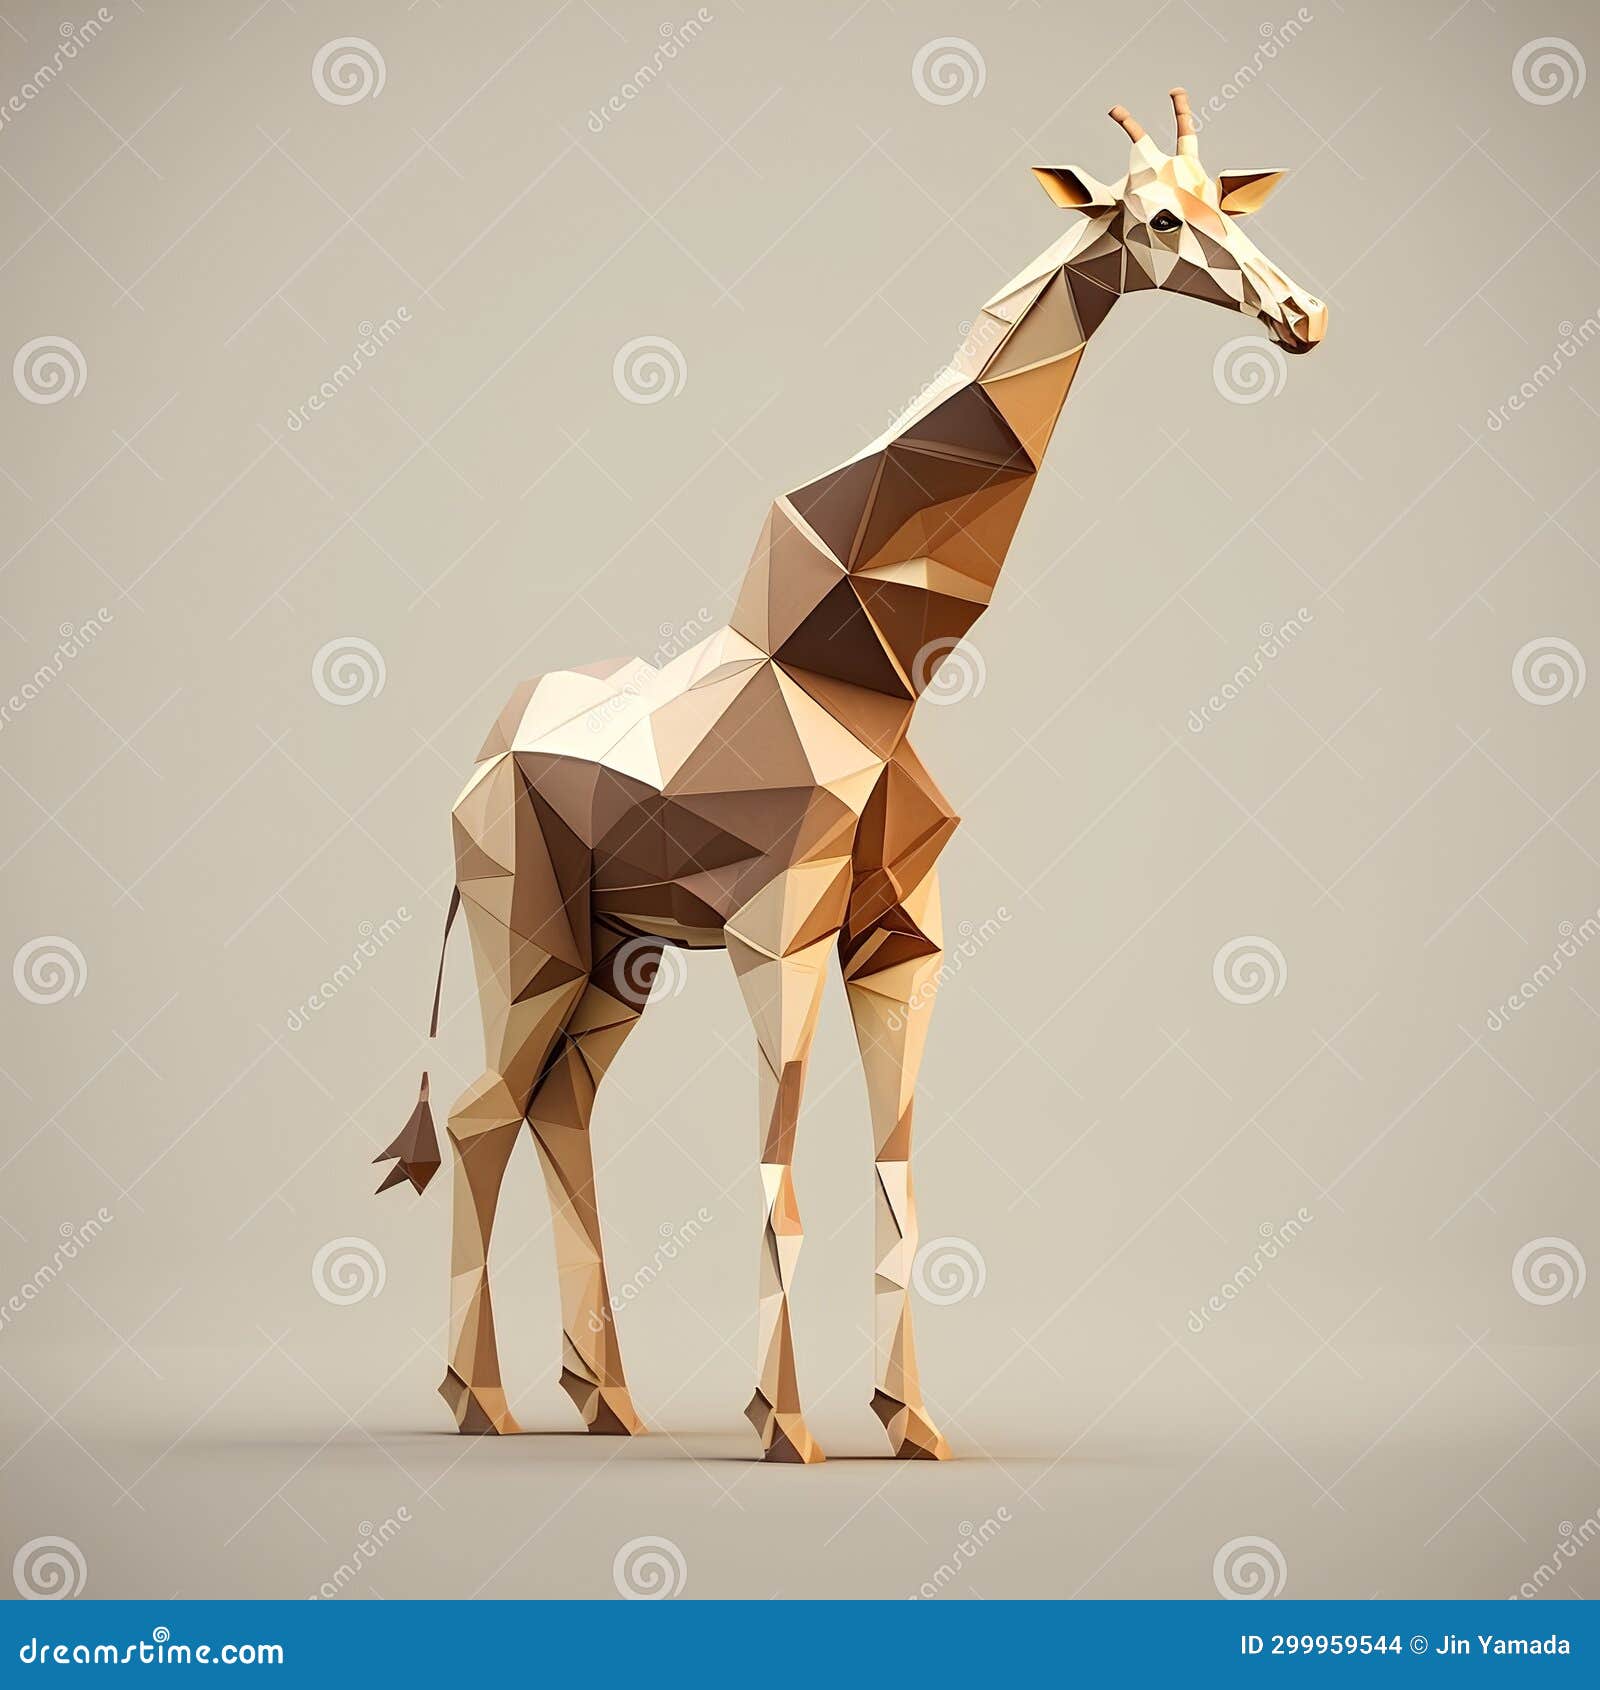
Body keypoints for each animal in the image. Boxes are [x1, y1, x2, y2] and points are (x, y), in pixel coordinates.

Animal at [375, 90, 1327, 1463]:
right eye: (1152, 216)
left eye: (1222, 199)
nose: (1302, 316)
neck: (861, 658)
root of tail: (470, 772)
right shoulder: (777, 929)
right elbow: (780, 1174)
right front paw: (785, 1426)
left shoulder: (900, 936)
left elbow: (897, 1180)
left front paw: (911, 1423)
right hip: (528, 936)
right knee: (474, 1120)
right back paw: (482, 1401)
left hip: (618, 959)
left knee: (562, 1114)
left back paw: (606, 1401)